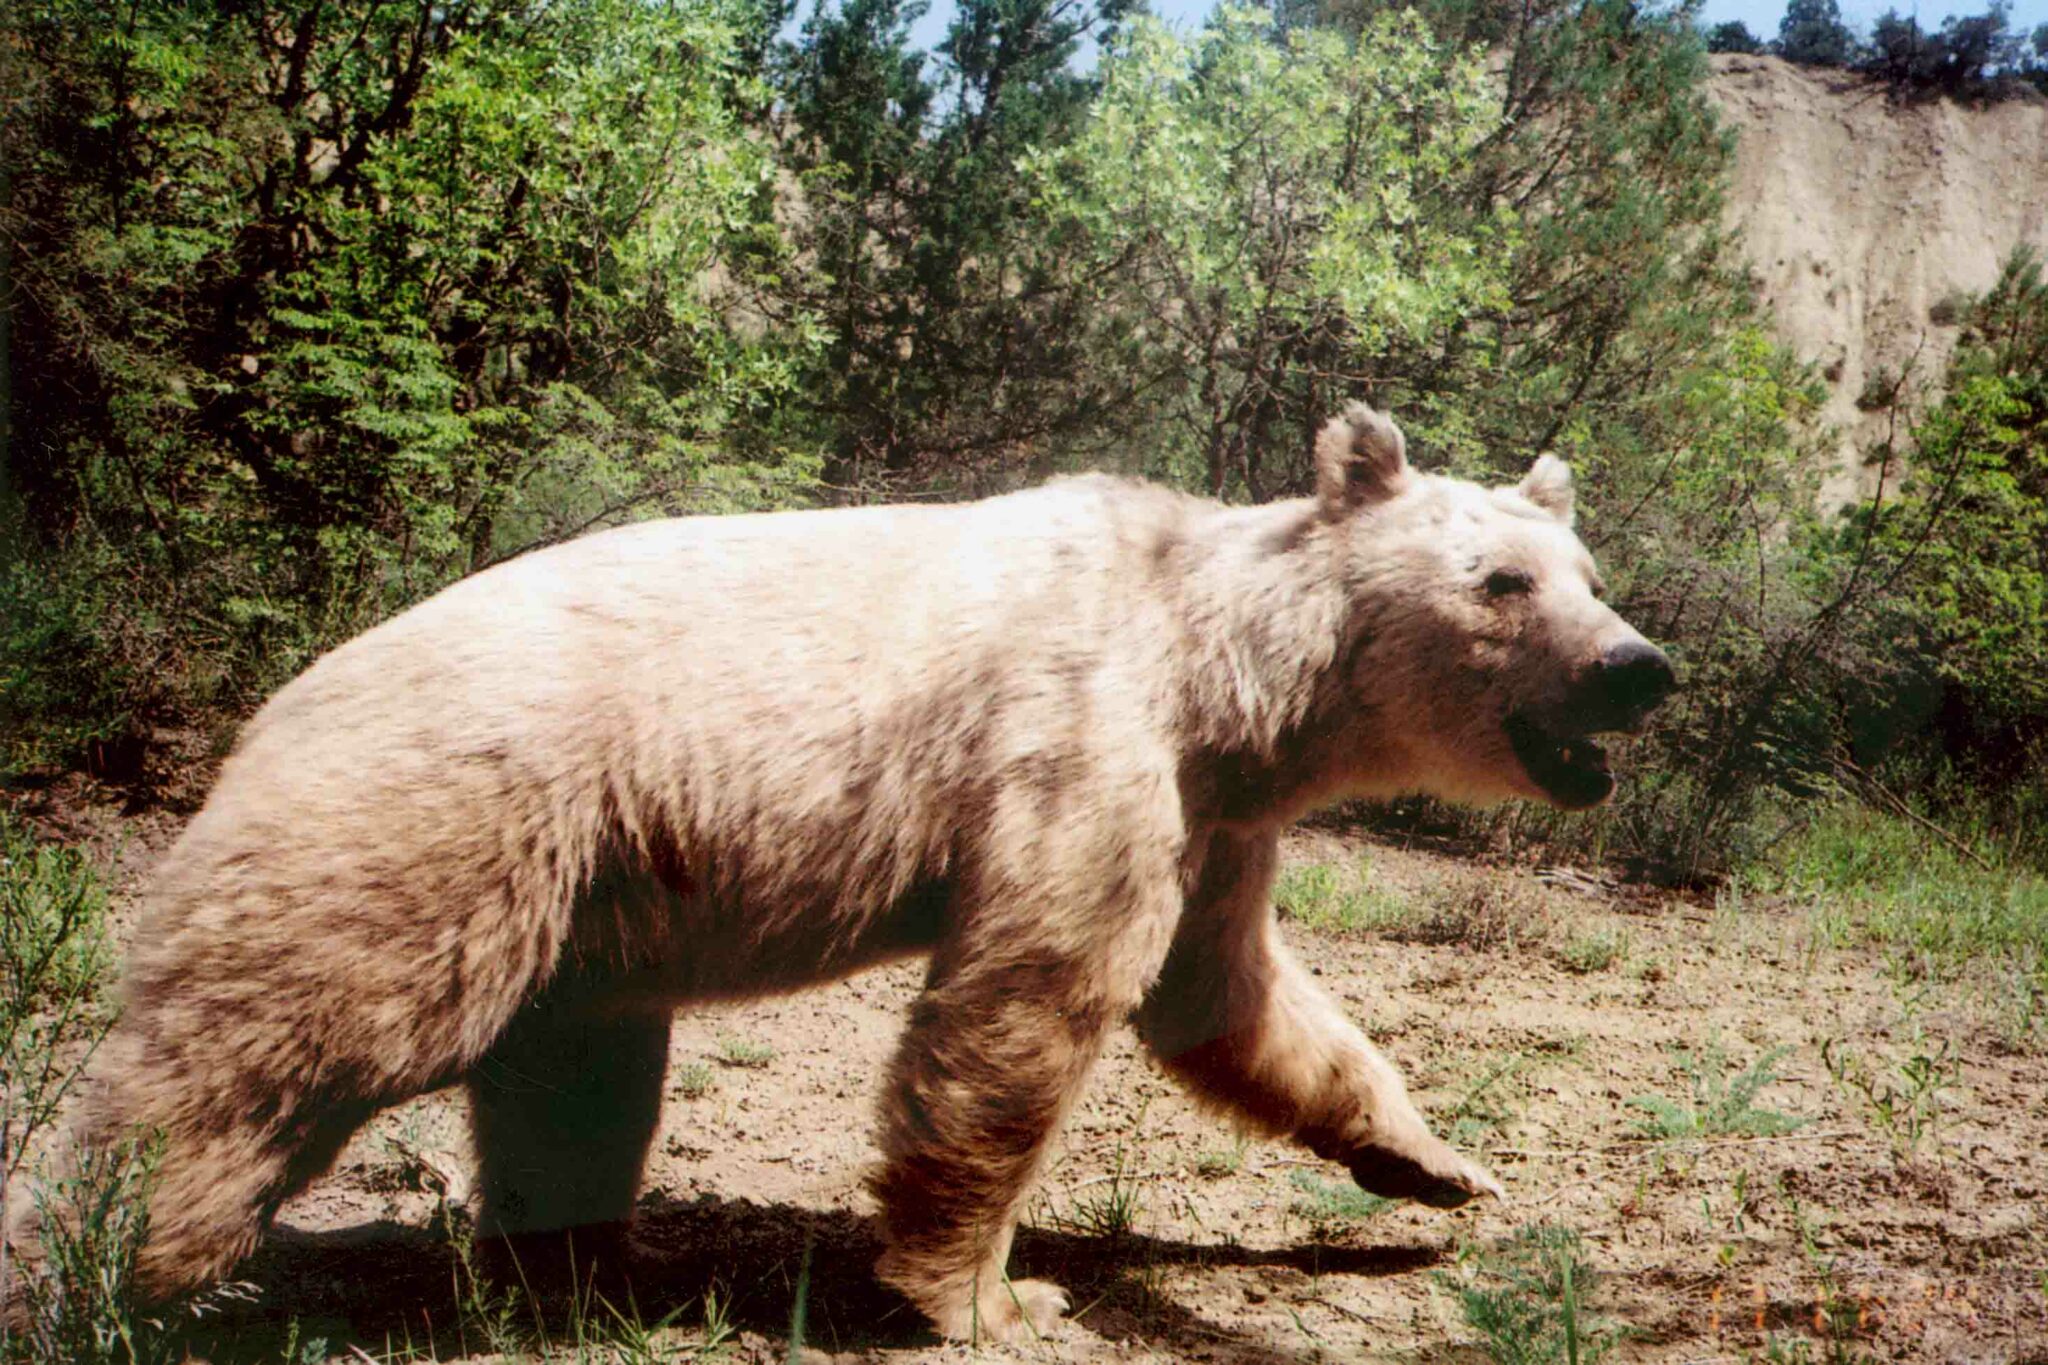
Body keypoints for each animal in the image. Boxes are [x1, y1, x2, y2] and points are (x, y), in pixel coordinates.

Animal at [14, 401, 1674, 1343]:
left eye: (1594, 575)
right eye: (1502, 582)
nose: (1639, 671)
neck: (1225, 668)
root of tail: (271, 707)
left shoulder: (1212, 812)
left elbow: (1234, 999)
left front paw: (1437, 1166)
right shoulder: (1078, 739)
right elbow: (1029, 1005)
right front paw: (993, 1297)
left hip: (581, 899)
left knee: (575, 1080)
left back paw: (587, 1272)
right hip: (433, 833)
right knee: (254, 1063)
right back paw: (101, 1272)